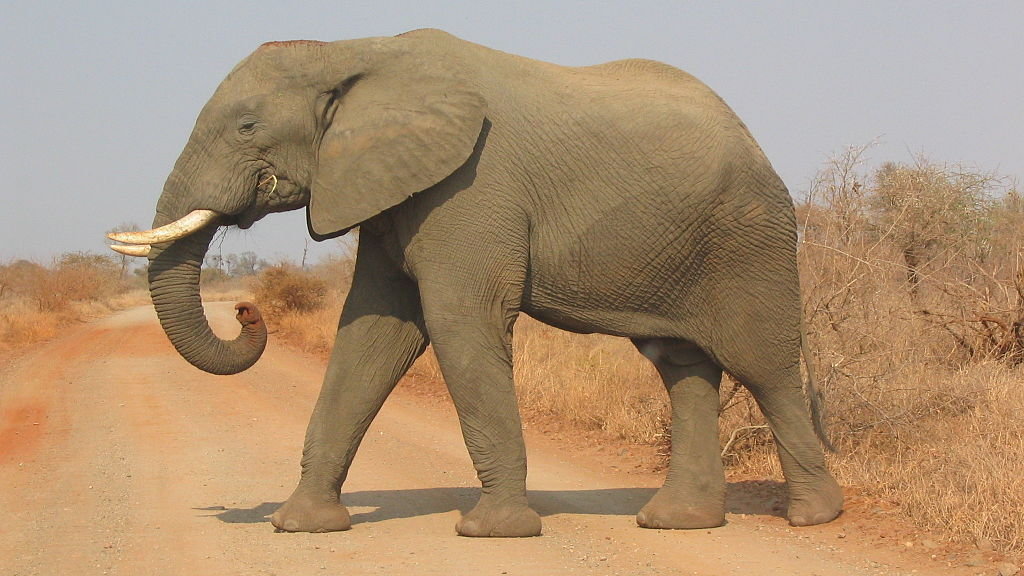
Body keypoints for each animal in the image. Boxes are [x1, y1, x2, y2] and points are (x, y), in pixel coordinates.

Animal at [109, 28, 843, 536]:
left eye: (247, 126)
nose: (245, 312)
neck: (353, 49)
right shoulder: (390, 190)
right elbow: (372, 334)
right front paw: (299, 526)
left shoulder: (471, 186)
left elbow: (458, 321)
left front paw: (493, 533)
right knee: (682, 366)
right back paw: (678, 522)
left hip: (749, 235)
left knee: (766, 365)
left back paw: (814, 517)